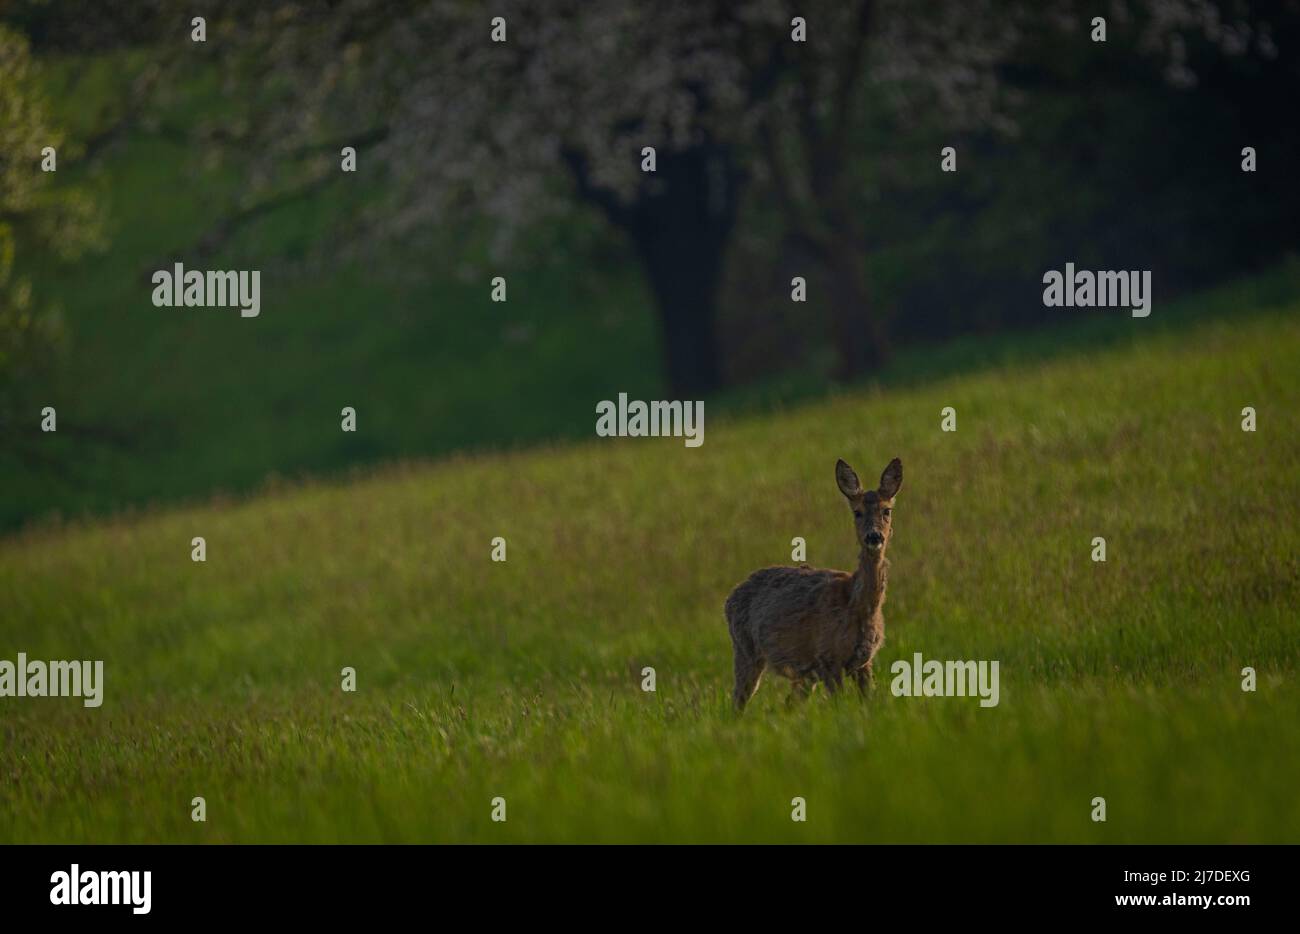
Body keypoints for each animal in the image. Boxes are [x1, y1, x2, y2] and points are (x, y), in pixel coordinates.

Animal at [725, 457, 902, 711]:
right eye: (857, 512)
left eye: (886, 510)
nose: (874, 536)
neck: (857, 605)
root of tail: (730, 598)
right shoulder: (827, 658)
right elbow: (839, 704)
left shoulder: (864, 662)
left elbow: (868, 701)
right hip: (745, 649)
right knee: (738, 701)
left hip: (804, 674)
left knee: (789, 704)